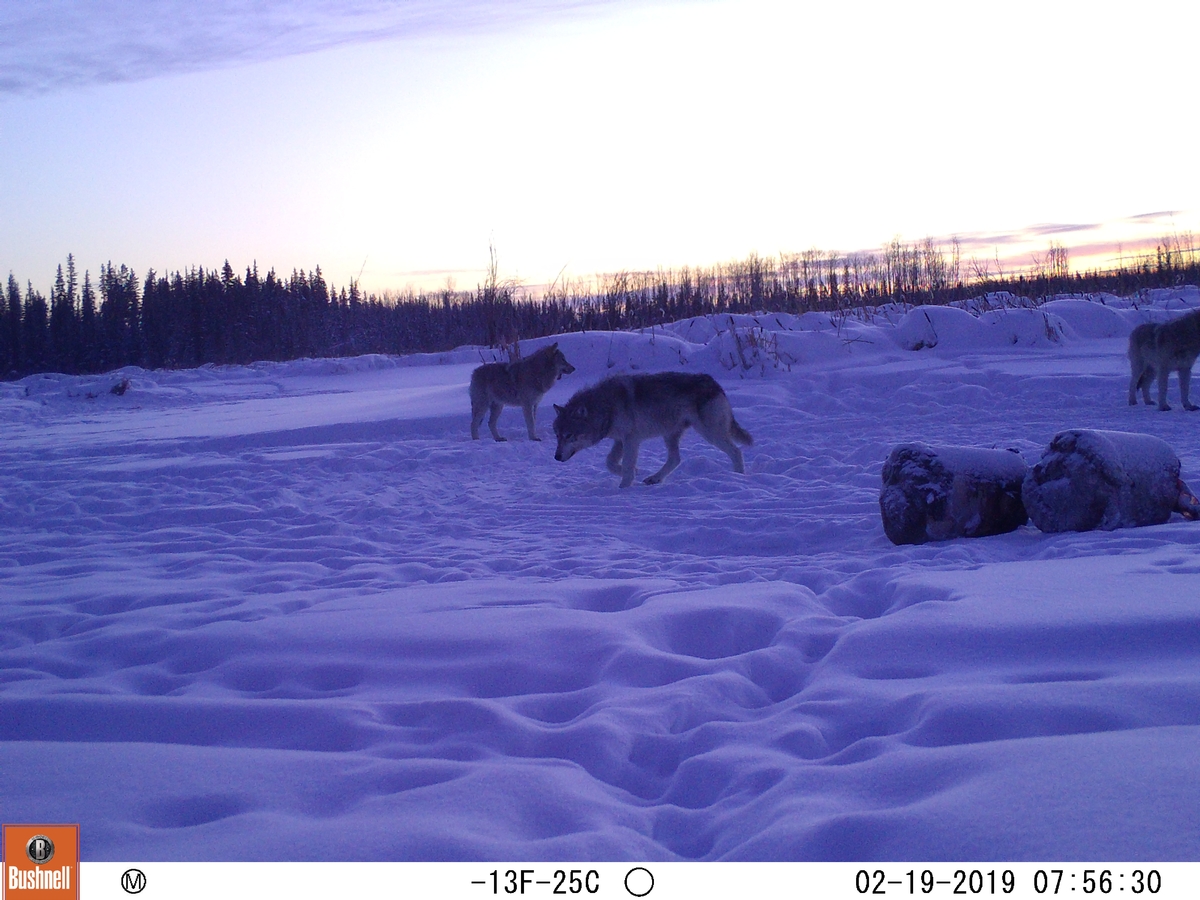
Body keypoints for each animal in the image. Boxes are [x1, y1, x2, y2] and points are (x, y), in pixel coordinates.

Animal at [552, 372, 753, 487]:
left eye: (569, 435)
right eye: (557, 436)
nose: (556, 457)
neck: (606, 407)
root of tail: (714, 383)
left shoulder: (631, 439)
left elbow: (626, 465)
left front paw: (623, 488)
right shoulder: (620, 440)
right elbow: (610, 462)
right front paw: (634, 472)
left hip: (709, 433)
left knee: (736, 451)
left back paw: (737, 477)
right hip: (670, 434)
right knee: (676, 458)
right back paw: (655, 478)